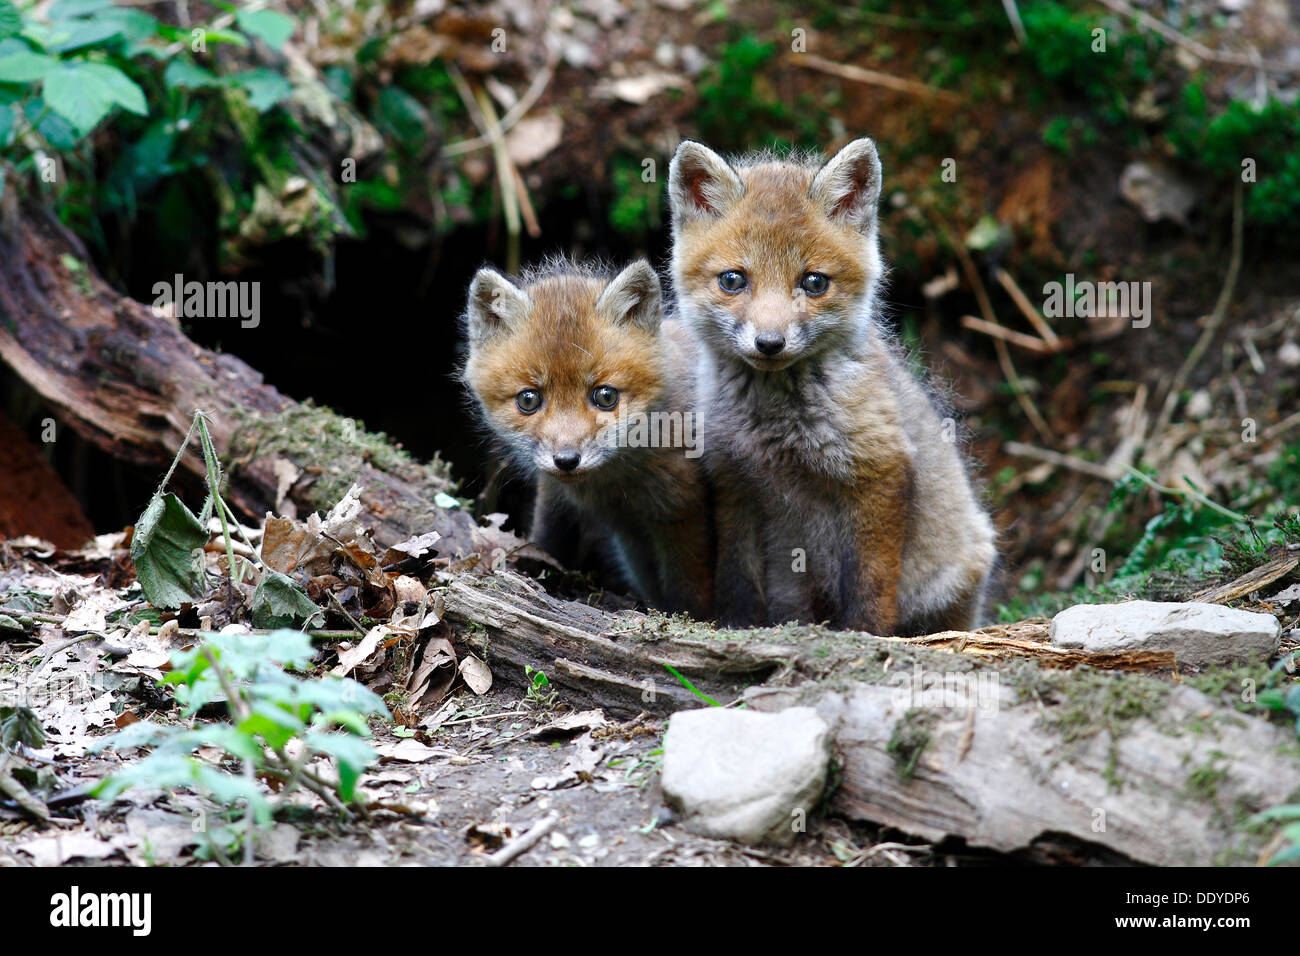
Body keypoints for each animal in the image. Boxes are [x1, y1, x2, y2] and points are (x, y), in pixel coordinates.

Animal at [462, 258, 714, 619]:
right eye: (528, 400)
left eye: (605, 396)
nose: (567, 460)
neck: (612, 489)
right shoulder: (555, 498)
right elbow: (544, 546)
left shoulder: (683, 511)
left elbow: (689, 594)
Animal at [667, 137, 996, 636]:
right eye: (733, 280)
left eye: (814, 282)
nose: (769, 343)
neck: (777, 434)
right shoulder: (735, 484)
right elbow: (737, 579)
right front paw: (737, 627)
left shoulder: (880, 472)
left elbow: (869, 589)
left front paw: (866, 637)